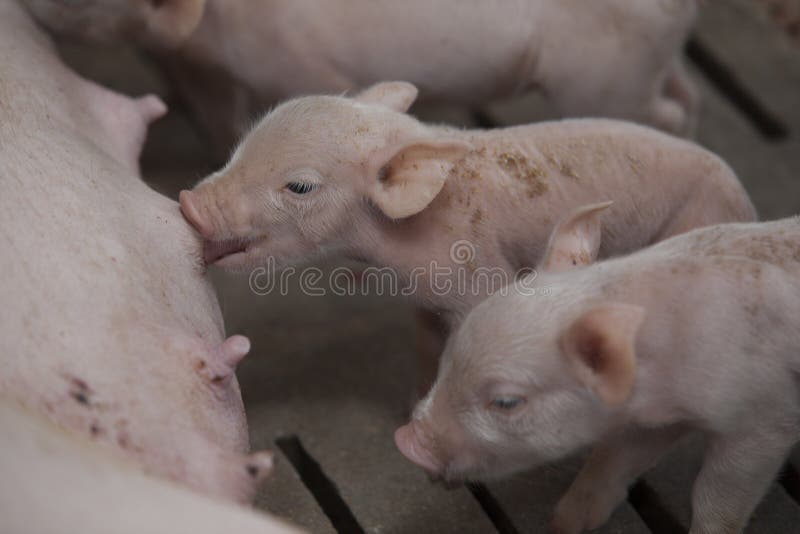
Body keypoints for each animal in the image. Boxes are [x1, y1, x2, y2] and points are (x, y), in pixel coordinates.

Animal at [396, 202, 800, 534]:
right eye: (449, 355)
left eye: (507, 402)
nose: (405, 441)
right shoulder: (654, 420)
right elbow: (613, 460)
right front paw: (562, 525)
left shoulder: (763, 422)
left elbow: (716, 500)